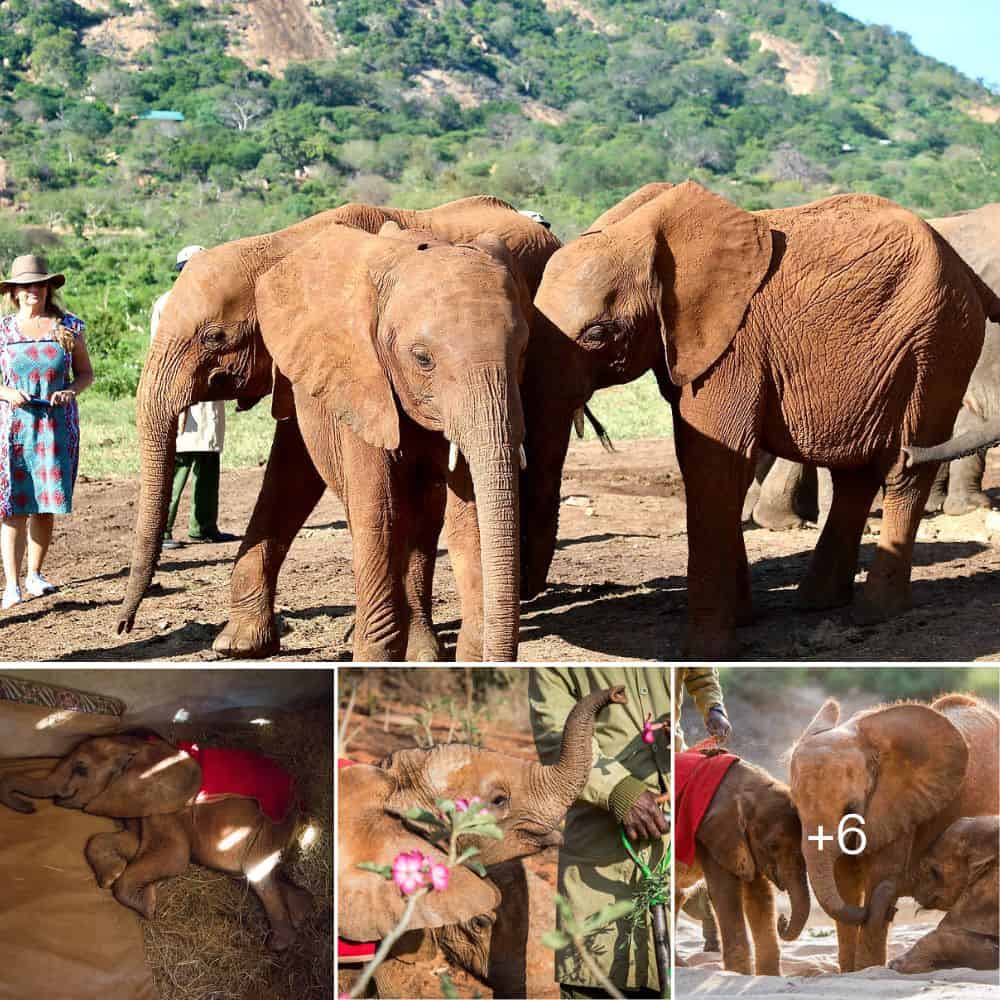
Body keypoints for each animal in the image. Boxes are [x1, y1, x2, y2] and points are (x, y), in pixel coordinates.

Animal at [0, 731, 312, 951]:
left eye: (80, 769)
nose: (31, 808)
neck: (137, 747)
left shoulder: (167, 808)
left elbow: (173, 856)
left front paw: (147, 905)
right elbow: (121, 842)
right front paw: (111, 876)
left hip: (272, 825)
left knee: (257, 872)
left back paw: (279, 944)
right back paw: (301, 913)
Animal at [117, 195, 560, 662]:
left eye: (214, 337)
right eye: (422, 358)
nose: (124, 626)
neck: (275, 249)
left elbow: (455, 511)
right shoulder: (334, 360)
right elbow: (311, 481)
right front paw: (238, 646)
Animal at [522, 180, 1000, 657]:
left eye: (598, 334)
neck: (643, 234)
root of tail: (966, 271)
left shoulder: (736, 346)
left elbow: (714, 464)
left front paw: (708, 650)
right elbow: (710, 462)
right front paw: (743, 619)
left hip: (939, 346)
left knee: (903, 469)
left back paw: (876, 612)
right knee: (857, 473)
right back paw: (819, 602)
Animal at [675, 756, 809, 975]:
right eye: (772, 846)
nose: (782, 920)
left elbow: (759, 895)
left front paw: (768, 976)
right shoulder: (713, 836)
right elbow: (726, 893)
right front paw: (739, 974)